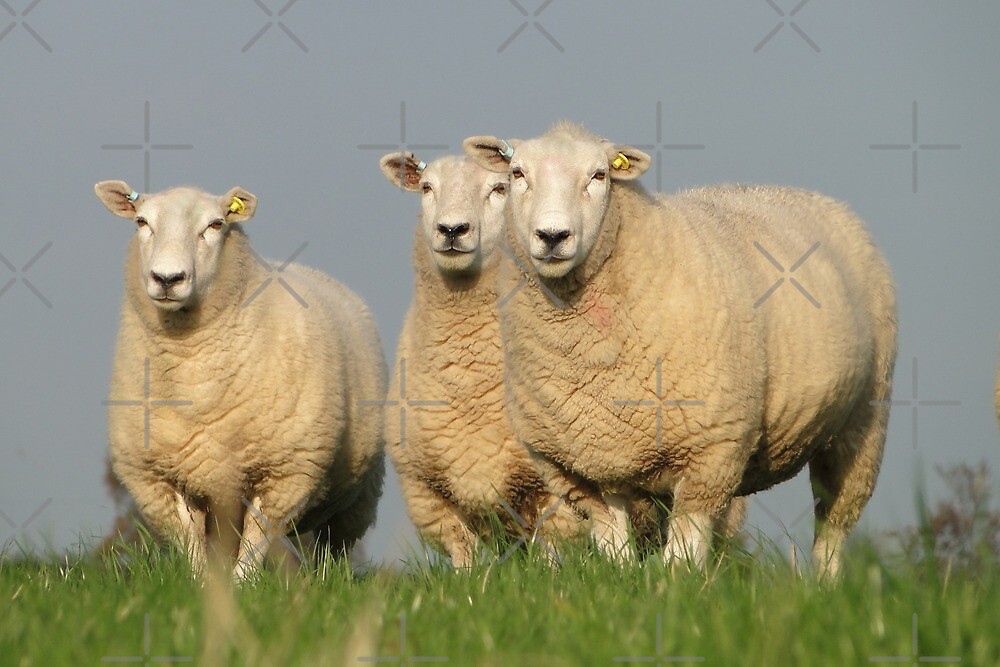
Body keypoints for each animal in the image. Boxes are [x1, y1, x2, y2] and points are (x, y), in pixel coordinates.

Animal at [95, 180, 387, 580]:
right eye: (141, 221)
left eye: (216, 224)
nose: (167, 279)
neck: (195, 375)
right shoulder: (157, 479)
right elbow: (190, 546)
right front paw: (204, 585)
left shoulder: (287, 474)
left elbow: (255, 543)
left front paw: (244, 586)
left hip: (358, 493)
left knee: (334, 547)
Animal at [378, 152, 584, 566]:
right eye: (427, 187)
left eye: (499, 188)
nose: (452, 229)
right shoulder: (429, 495)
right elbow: (465, 560)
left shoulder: (552, 492)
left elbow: (552, 557)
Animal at [465, 122, 897, 577]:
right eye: (517, 173)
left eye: (599, 175)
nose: (552, 236)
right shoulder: (582, 467)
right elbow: (615, 551)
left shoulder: (711, 451)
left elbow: (683, 557)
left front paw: (676, 589)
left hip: (861, 425)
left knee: (832, 527)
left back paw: (824, 585)